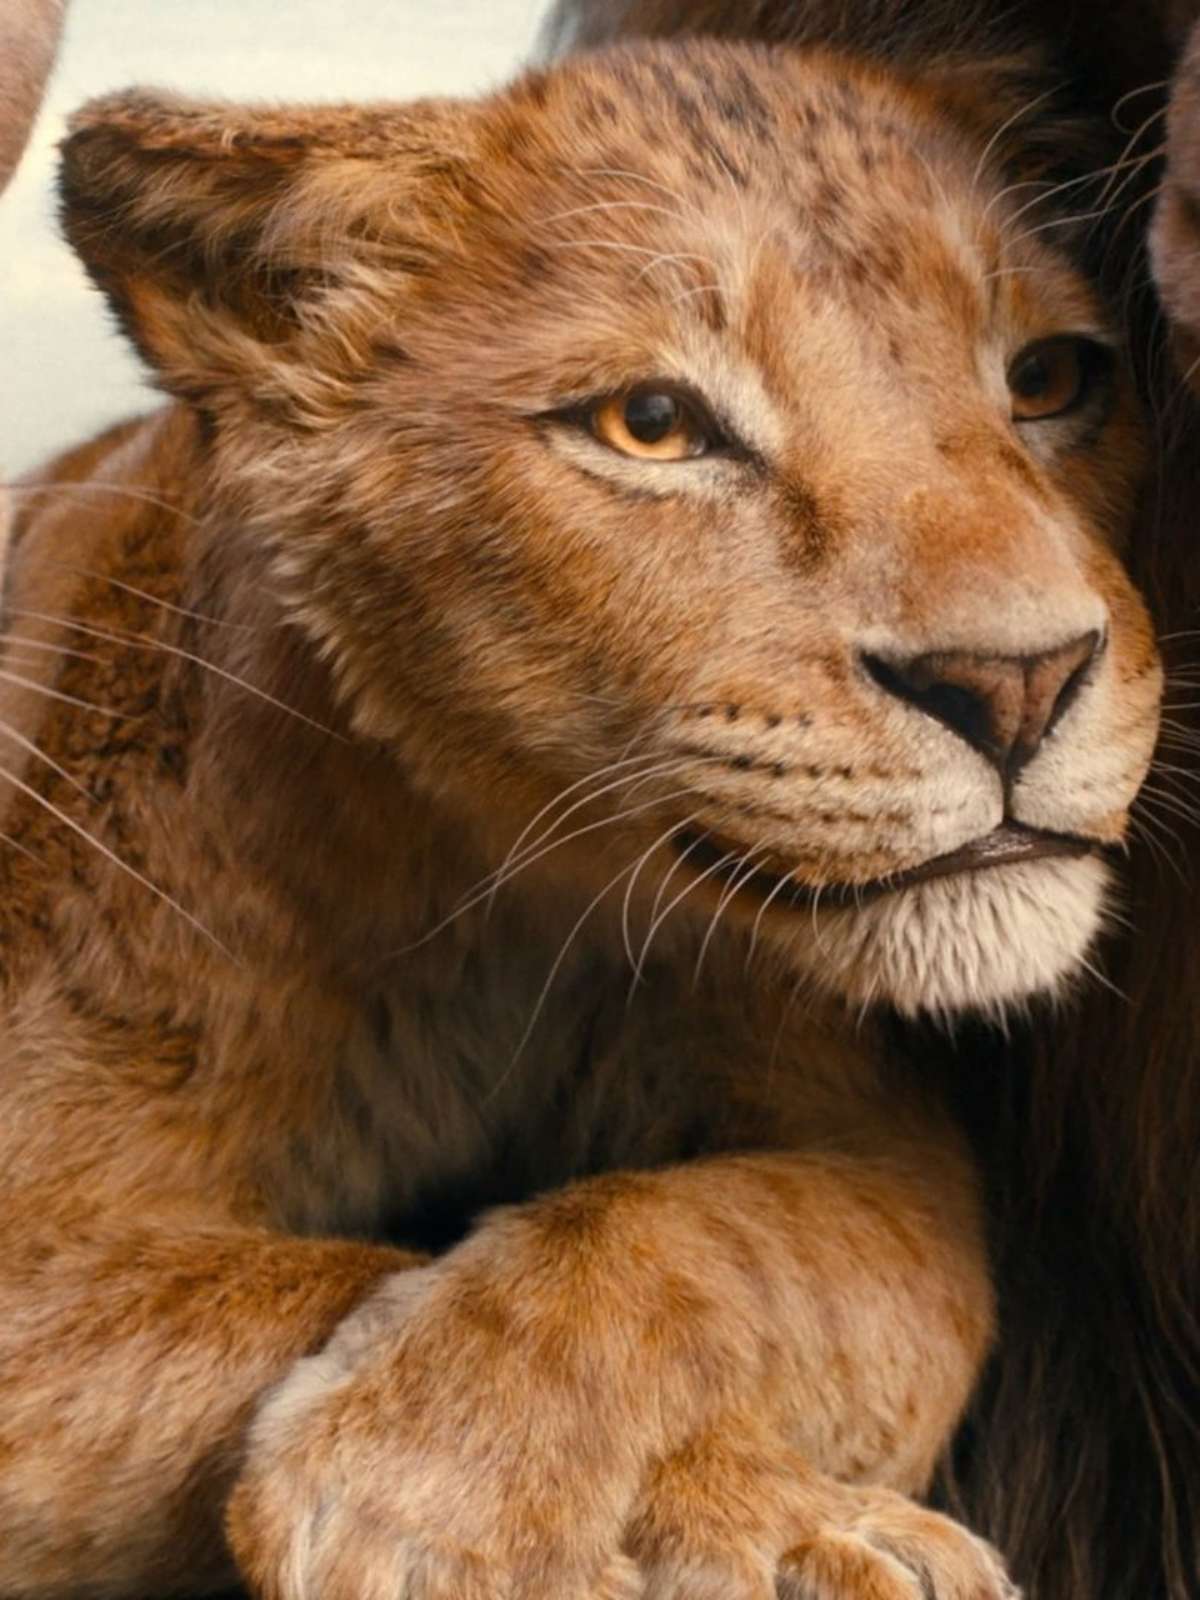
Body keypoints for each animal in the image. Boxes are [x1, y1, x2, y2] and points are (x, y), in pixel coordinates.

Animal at [0, 30, 1162, 1600]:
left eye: (1049, 377)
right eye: (652, 426)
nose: (1019, 683)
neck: (487, 908)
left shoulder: (869, 1143)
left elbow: (742, 1245)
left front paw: (437, 1465)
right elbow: (281, 1284)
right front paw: (461, 1497)